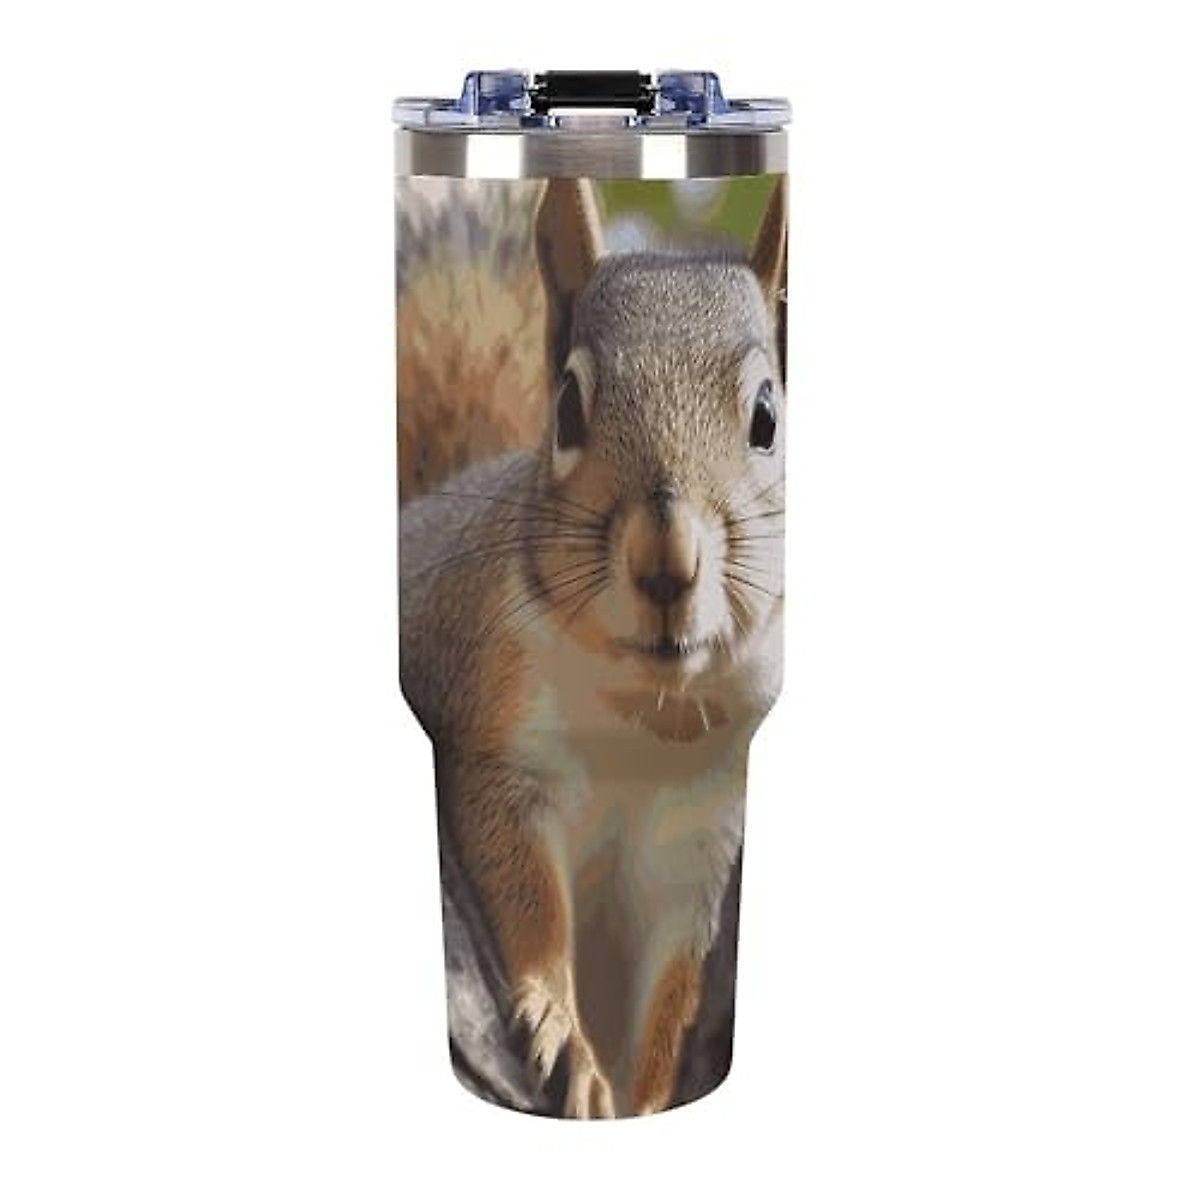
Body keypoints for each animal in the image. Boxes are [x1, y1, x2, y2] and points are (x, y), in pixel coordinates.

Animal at [398, 175, 787, 1117]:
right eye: (568, 407)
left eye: (767, 416)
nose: (666, 560)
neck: (645, 711)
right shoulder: (498, 741)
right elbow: (526, 894)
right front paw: (564, 1035)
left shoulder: (699, 833)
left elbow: (668, 995)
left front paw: (645, 1099)